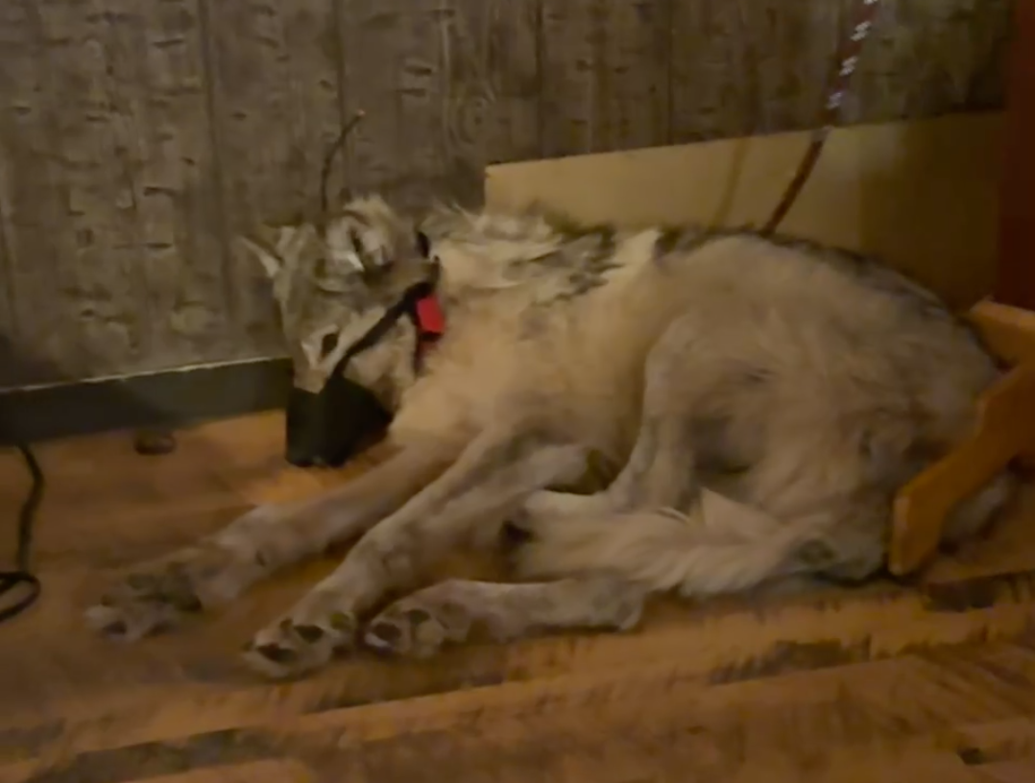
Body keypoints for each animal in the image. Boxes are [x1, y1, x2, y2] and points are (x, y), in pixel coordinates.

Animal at [85, 195, 1016, 679]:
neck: (445, 314)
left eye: (328, 345)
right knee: (618, 590)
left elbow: (383, 535)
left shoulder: (529, 436)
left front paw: (317, 613)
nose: (297, 457)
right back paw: (449, 609)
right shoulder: (439, 445)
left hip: (690, 336)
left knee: (637, 497)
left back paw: (505, 544)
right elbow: (291, 522)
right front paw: (179, 579)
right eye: (295, 355)